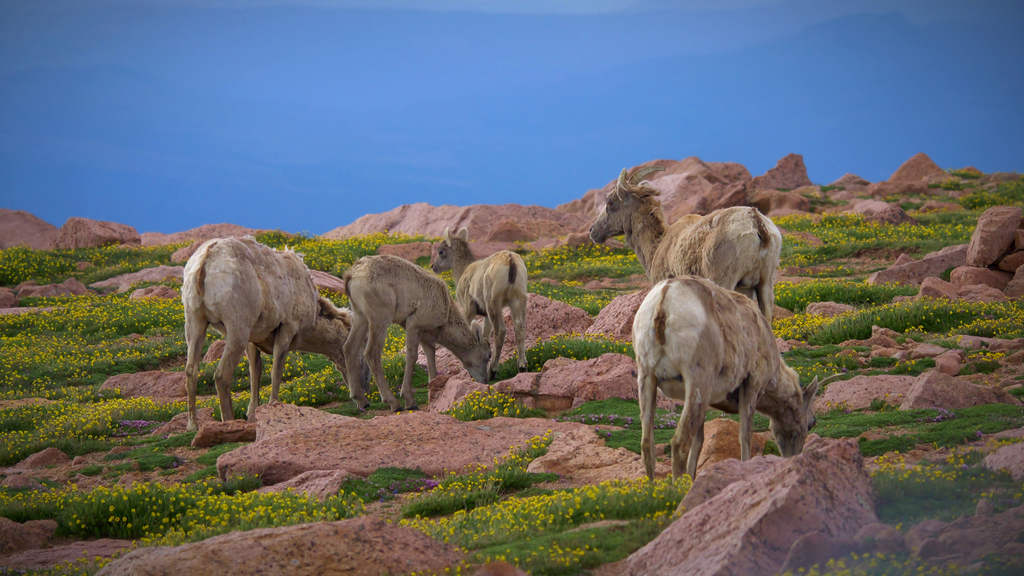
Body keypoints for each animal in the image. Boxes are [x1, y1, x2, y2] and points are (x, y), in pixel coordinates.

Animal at [182, 237, 367, 433]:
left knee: (191, 372)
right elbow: (276, 371)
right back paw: (229, 422)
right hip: (237, 327)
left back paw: (192, 426)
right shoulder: (287, 328)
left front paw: (253, 413)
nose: (365, 402)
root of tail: (206, 259)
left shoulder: (252, 339)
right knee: (221, 375)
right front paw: (273, 406)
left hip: (195, 321)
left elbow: (255, 372)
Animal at [343, 254, 491, 411]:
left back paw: (361, 400)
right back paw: (394, 403)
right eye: (488, 355)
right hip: (380, 316)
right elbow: (412, 356)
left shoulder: (426, 336)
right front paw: (410, 401)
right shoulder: (413, 324)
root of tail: (352, 275)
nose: (485, 380)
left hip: (360, 315)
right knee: (372, 353)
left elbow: (431, 357)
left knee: (349, 348)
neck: (445, 319)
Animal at [430, 227, 528, 378]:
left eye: (441, 251)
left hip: (493, 301)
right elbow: (485, 335)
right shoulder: (485, 315)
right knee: (520, 328)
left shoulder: (468, 308)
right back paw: (522, 367)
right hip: (519, 298)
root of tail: (510, 261)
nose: (433, 266)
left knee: (500, 331)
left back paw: (493, 371)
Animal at [590, 166, 782, 321]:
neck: (658, 245)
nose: (593, 231)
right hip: (765, 285)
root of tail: (756, 223)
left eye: (610, 202)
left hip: (725, 281)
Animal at [632, 276, 831, 480]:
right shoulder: (751, 385)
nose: (792, 458)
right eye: (811, 423)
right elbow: (745, 435)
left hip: (647, 377)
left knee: (647, 444)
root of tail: (664, 300)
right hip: (697, 381)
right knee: (679, 443)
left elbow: (699, 442)